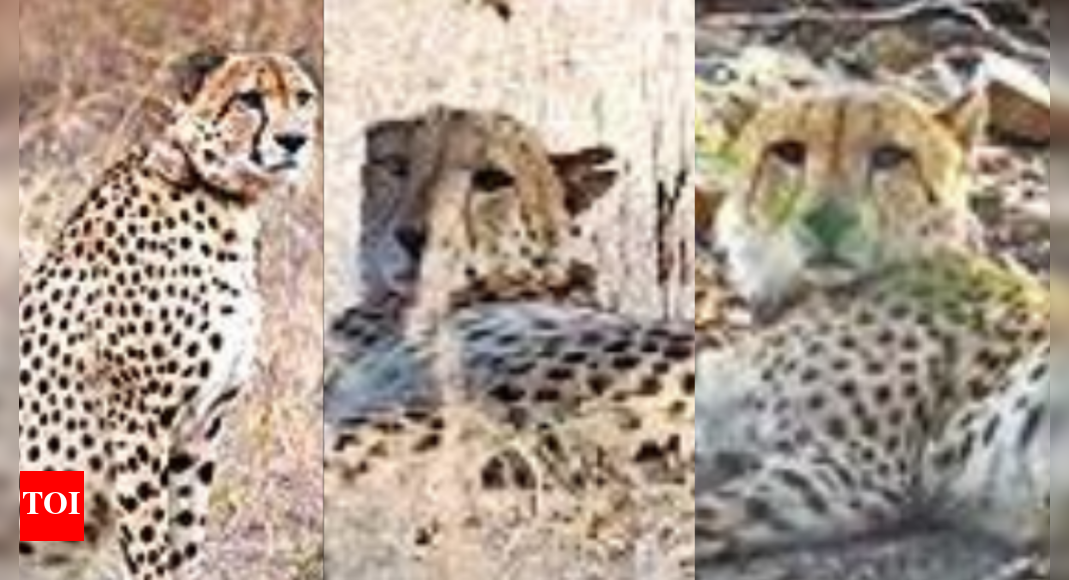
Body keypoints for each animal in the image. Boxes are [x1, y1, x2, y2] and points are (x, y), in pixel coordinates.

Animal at [18, 50, 319, 580]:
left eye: (303, 97)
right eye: (249, 99)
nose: (294, 140)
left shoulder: (199, 429)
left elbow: (186, 537)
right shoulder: (137, 424)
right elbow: (151, 545)